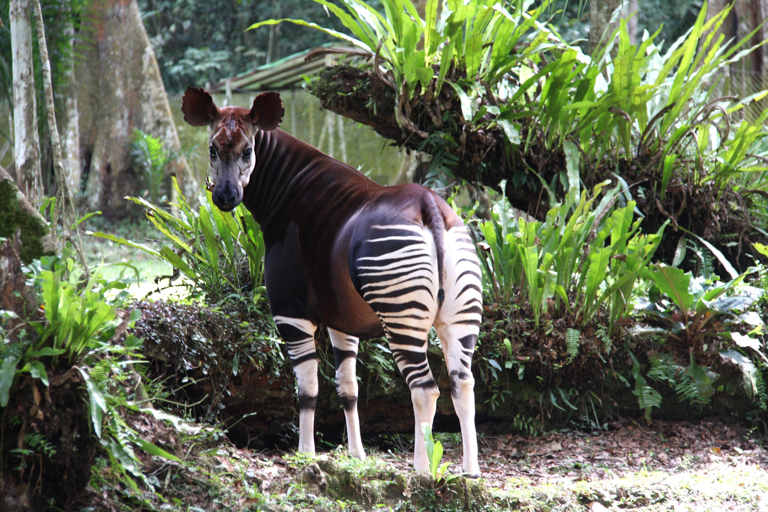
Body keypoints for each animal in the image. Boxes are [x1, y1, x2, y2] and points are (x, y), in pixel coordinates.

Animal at [181, 87, 482, 476]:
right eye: (213, 149)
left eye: (248, 151)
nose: (225, 196)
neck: (286, 191)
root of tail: (430, 205)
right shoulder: (343, 319)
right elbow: (348, 388)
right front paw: (357, 456)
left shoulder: (290, 312)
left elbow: (308, 389)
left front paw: (306, 456)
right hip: (458, 317)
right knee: (463, 385)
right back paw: (471, 472)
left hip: (402, 315)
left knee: (425, 389)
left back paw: (421, 470)